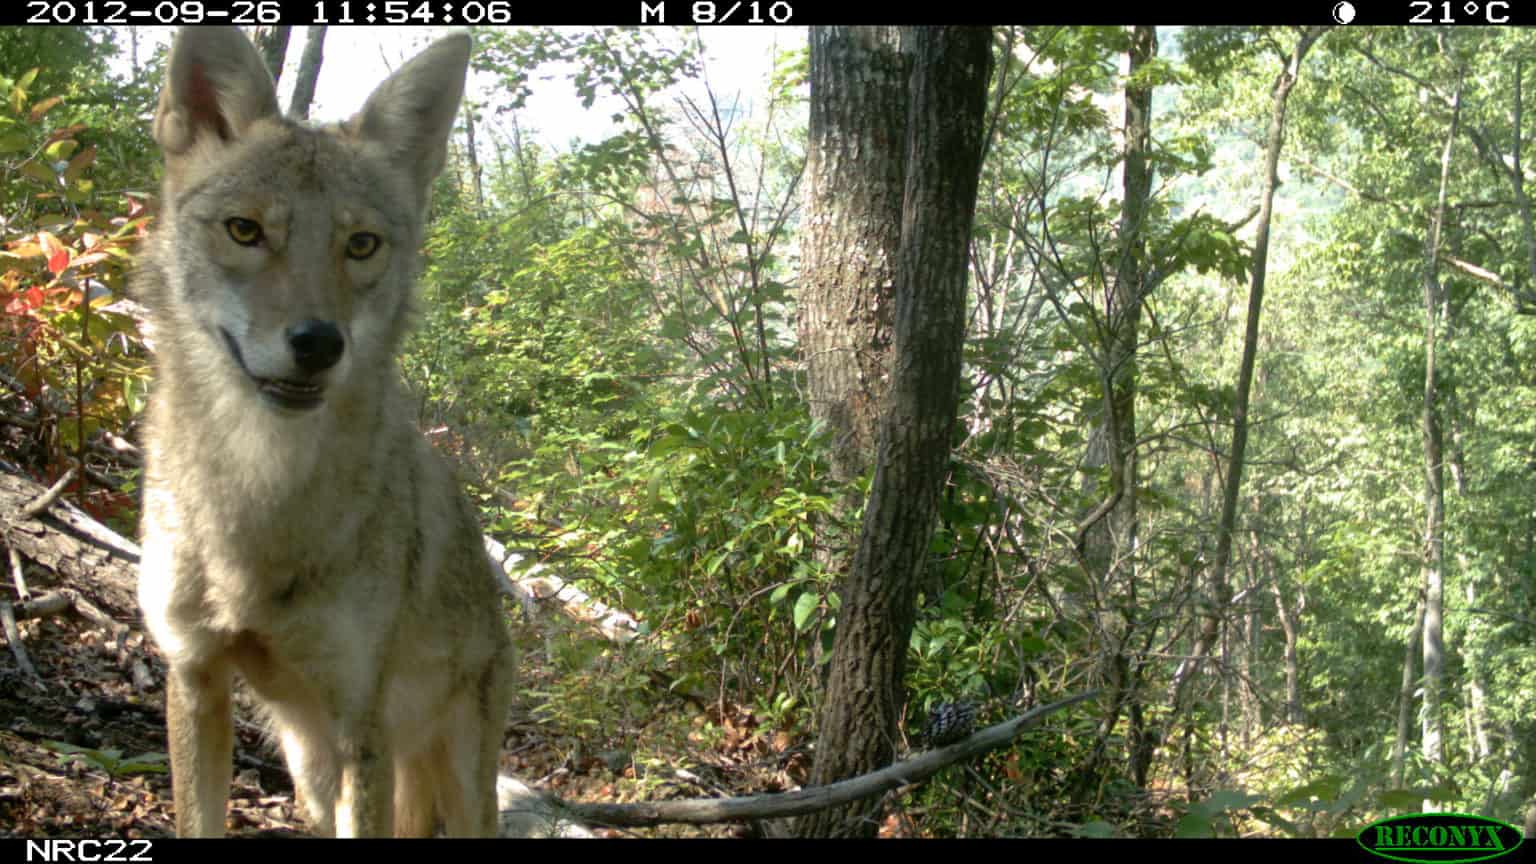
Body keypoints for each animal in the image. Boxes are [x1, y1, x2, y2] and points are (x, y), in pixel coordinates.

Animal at [134, 27, 513, 837]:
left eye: (361, 245)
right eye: (246, 230)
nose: (318, 343)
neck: (259, 492)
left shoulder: (358, 727)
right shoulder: (193, 675)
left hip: (449, 777)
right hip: (309, 770)